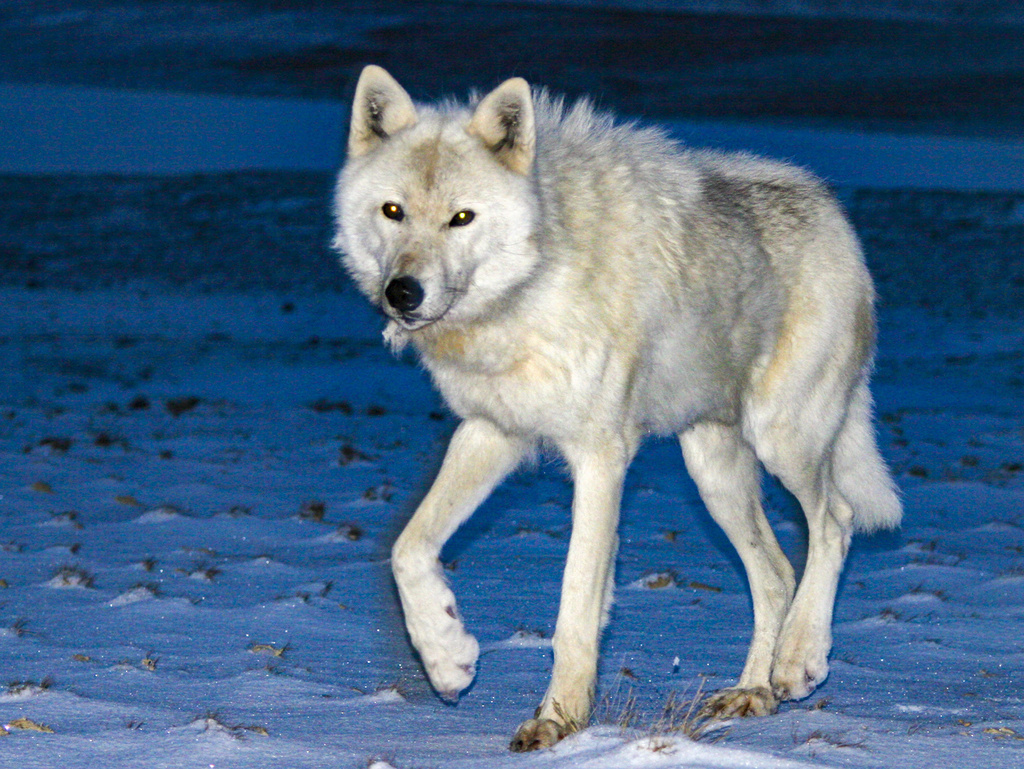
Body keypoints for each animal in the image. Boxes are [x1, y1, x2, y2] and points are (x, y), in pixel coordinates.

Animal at [332, 65, 901, 752]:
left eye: (461, 218)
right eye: (393, 210)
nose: (402, 293)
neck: (534, 281)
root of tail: (830, 208)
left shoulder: (602, 457)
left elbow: (576, 604)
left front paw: (558, 722)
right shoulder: (491, 433)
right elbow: (408, 549)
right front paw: (448, 660)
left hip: (781, 439)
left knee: (835, 521)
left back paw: (798, 661)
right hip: (713, 472)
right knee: (776, 573)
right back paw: (753, 692)